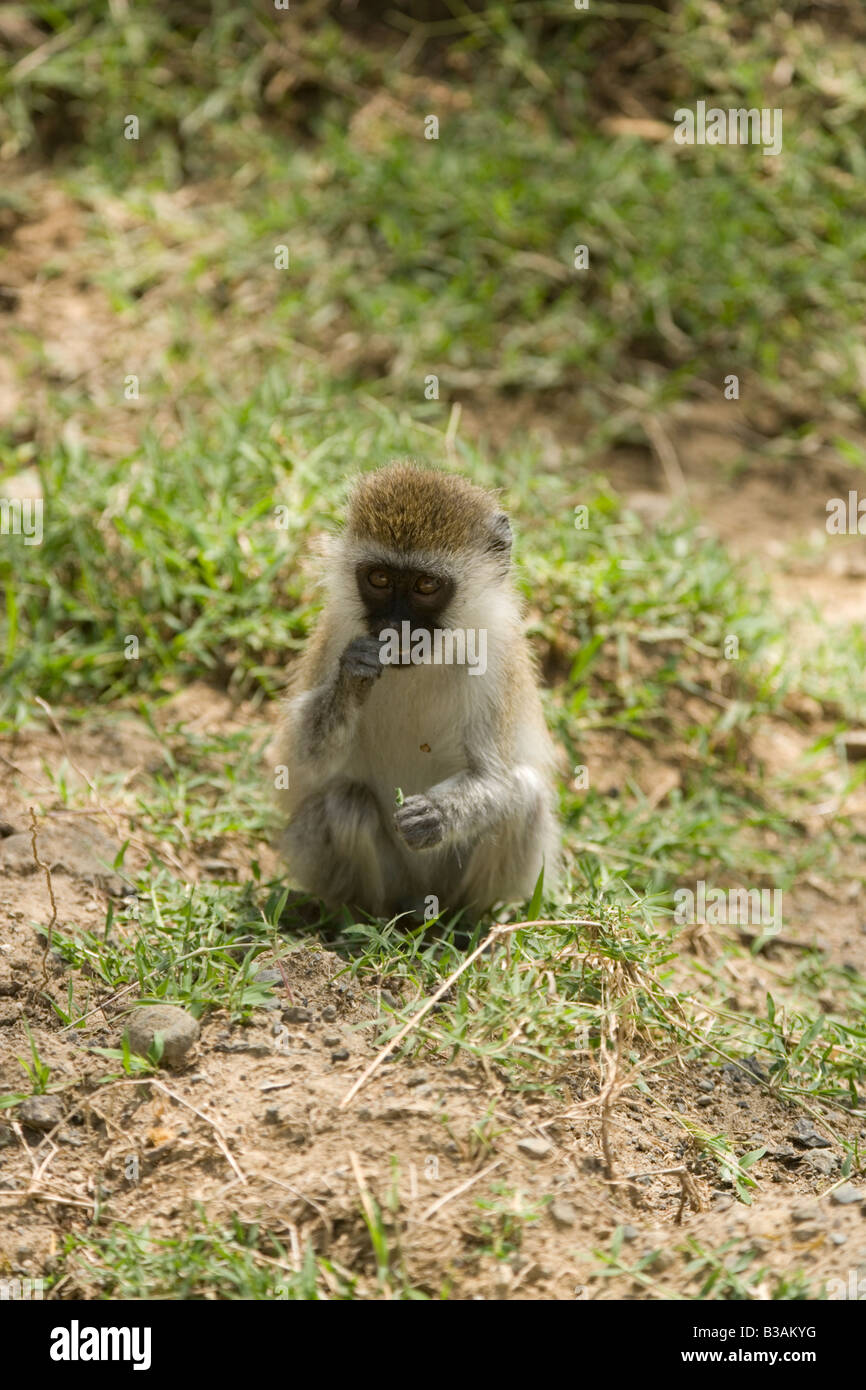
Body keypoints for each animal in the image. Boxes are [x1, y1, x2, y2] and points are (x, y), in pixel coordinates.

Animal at [276, 461, 560, 920]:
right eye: (379, 578)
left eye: (426, 585)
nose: (395, 630)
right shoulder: (334, 633)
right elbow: (298, 761)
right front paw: (352, 677)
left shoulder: (498, 659)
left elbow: (494, 776)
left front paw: (437, 815)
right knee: (345, 801)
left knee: (526, 799)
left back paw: (474, 922)